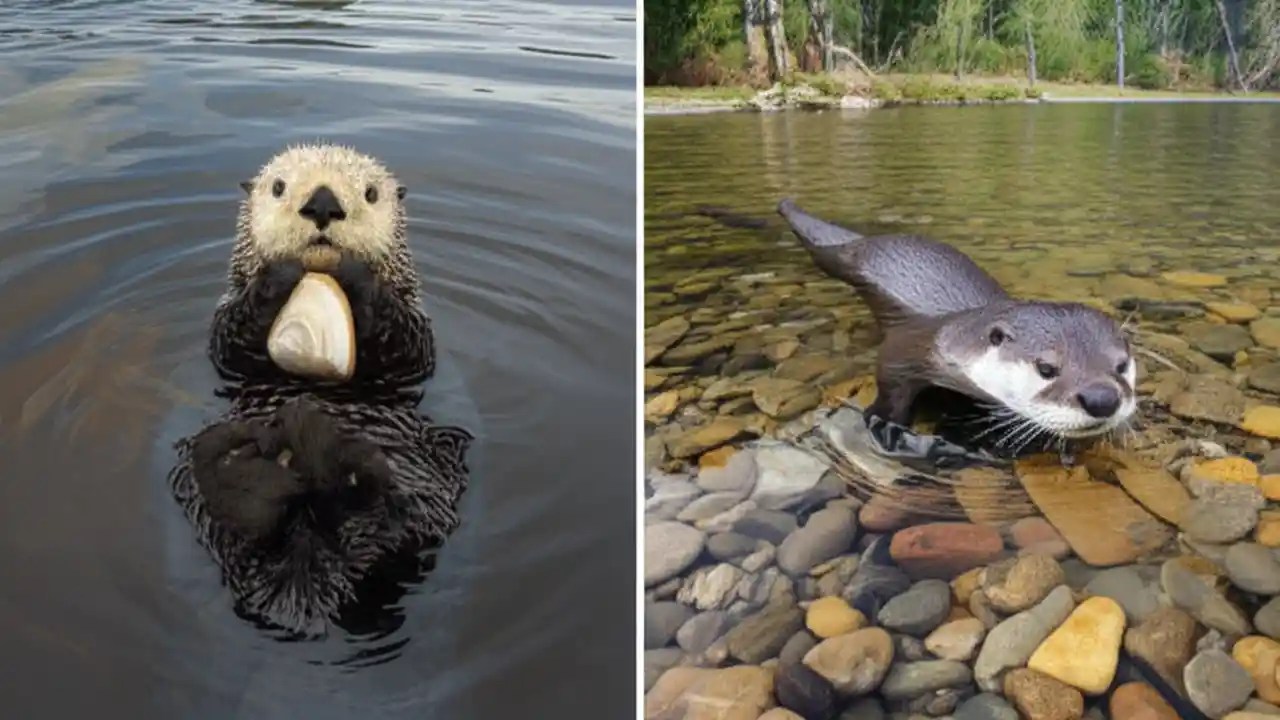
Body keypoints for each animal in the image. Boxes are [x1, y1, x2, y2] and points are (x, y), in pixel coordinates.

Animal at [167, 143, 471, 635]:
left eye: (370, 193)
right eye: (278, 186)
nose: (323, 205)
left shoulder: (416, 332)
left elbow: (410, 351)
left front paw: (357, 274)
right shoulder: (225, 328)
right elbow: (228, 345)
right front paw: (278, 273)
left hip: (434, 479)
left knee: (391, 520)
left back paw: (335, 462)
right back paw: (246, 475)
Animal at [777, 199, 1137, 465]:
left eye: (1121, 365)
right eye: (1046, 368)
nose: (1102, 399)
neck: (955, 341)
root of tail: (863, 241)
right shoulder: (911, 347)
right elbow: (890, 381)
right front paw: (885, 426)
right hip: (839, 260)